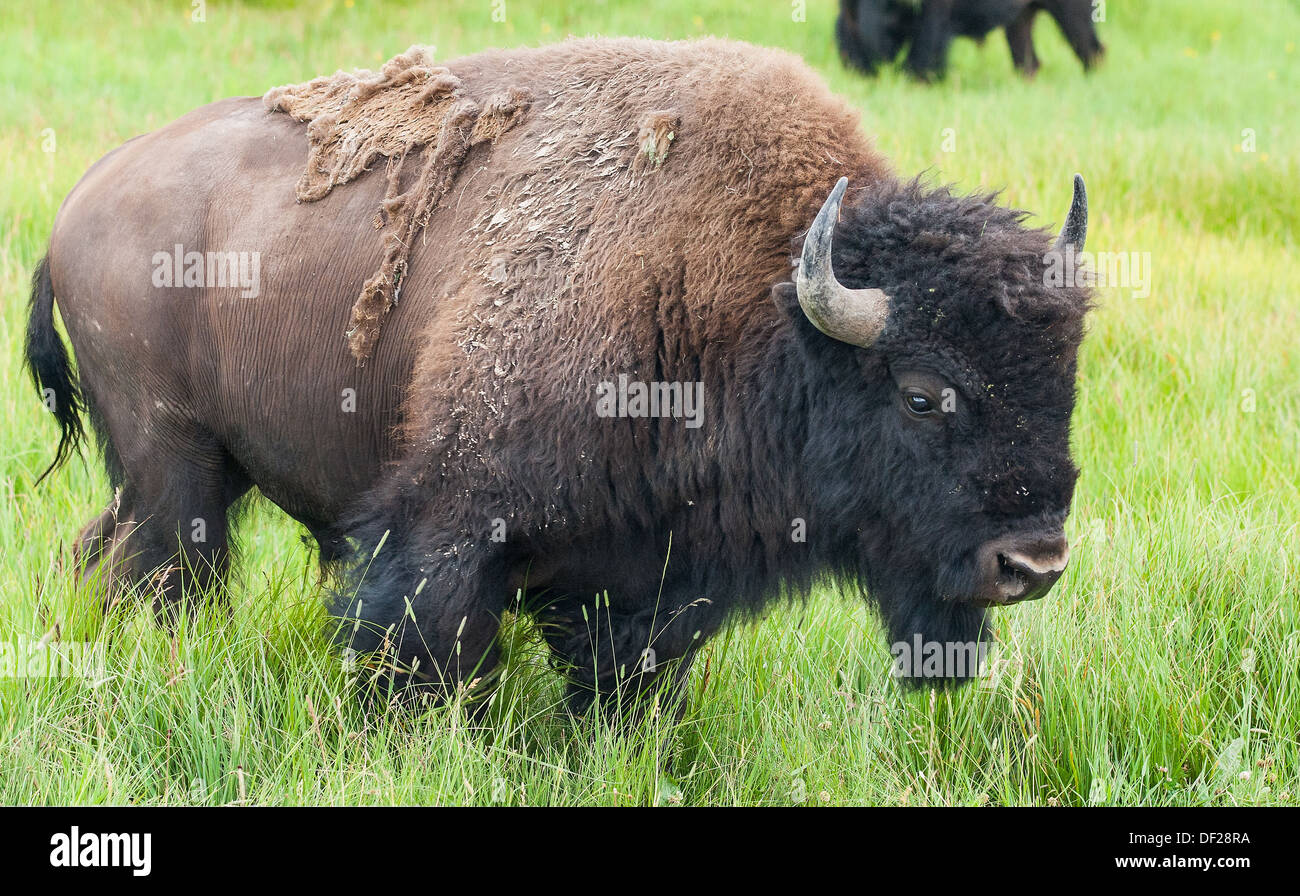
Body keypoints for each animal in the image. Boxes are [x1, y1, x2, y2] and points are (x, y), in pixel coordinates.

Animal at [26, 38, 1091, 718]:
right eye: (921, 393)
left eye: (1066, 382)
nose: (1033, 563)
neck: (756, 299)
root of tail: (81, 199)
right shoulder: (448, 523)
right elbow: (425, 644)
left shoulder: (651, 574)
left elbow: (628, 673)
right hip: (177, 469)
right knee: (164, 569)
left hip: (190, 474)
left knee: (107, 552)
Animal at [837, 0, 1105, 79]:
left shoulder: (934, 15)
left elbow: (923, 52)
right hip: (1020, 21)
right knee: (1028, 61)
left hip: (1071, 14)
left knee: (1091, 49)